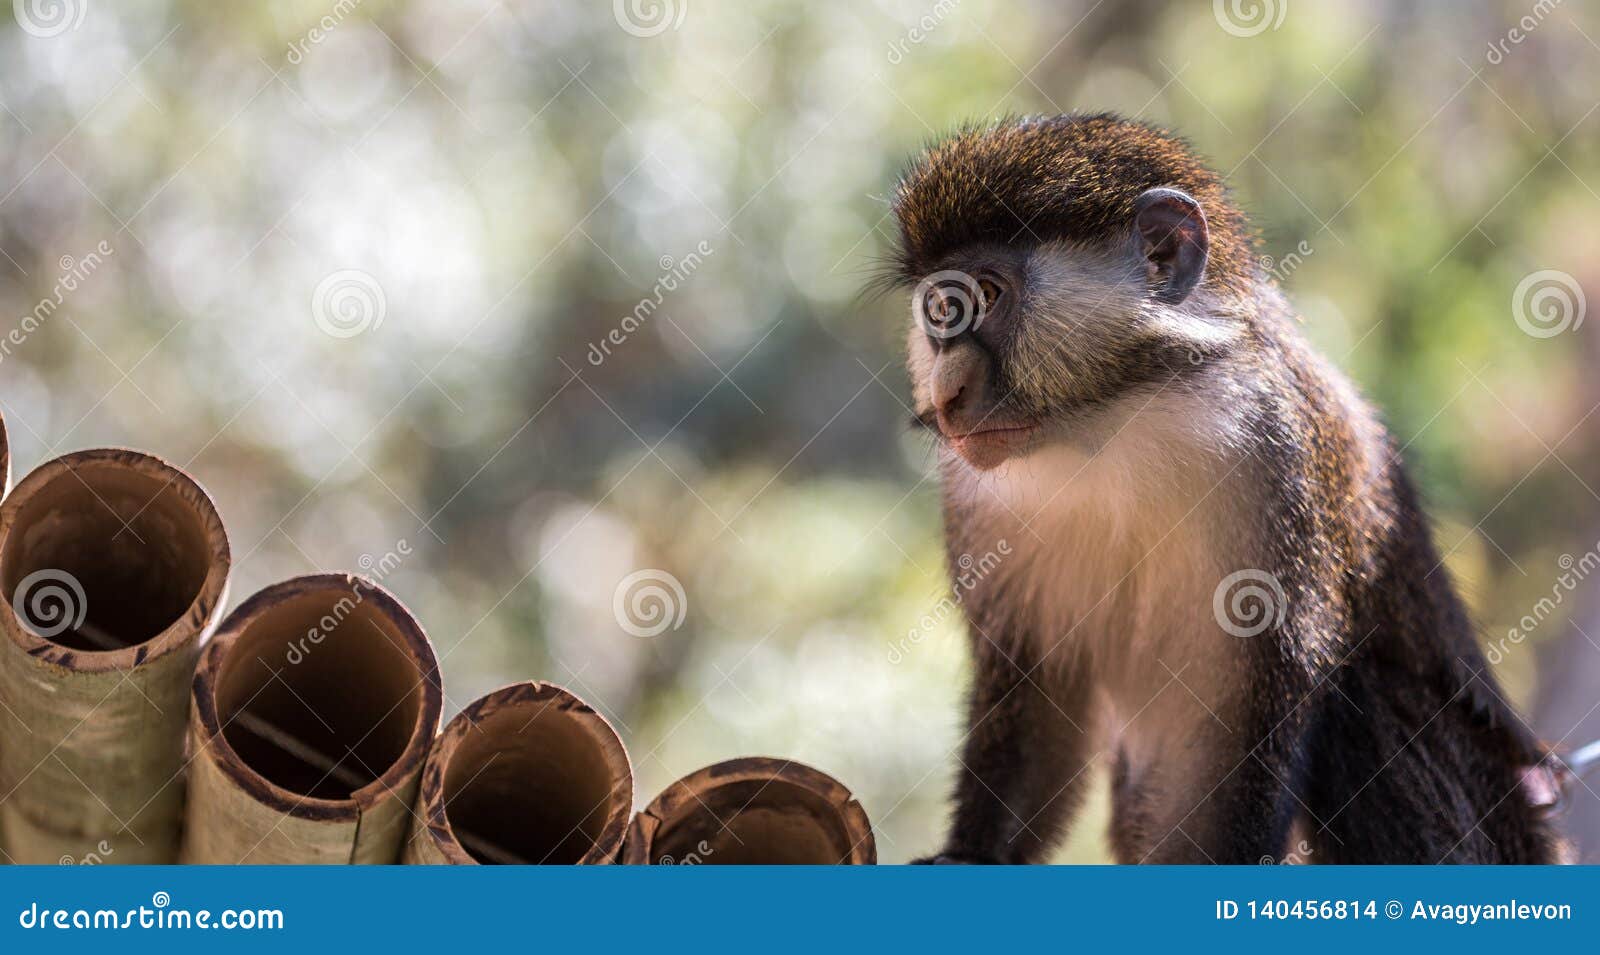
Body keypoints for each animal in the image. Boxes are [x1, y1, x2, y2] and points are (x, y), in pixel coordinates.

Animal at [884, 113, 1561, 864]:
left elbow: (1256, 699)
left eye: (985, 297)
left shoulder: (1270, 453)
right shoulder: (977, 496)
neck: (1107, 426)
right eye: (941, 310)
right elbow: (1037, 683)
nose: (948, 393)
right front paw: (965, 854)